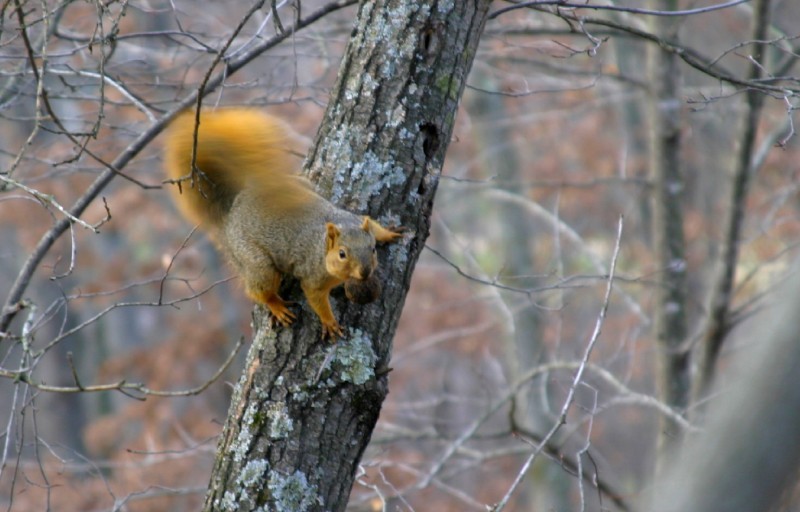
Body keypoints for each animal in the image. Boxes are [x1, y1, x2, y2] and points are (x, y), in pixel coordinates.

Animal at [163, 108, 402, 339]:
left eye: (373, 249)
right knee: (258, 289)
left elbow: (373, 224)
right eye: (342, 254)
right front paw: (330, 323)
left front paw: (389, 233)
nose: (365, 272)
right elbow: (316, 300)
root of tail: (233, 210)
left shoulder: (357, 219)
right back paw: (277, 306)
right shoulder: (312, 277)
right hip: (255, 261)